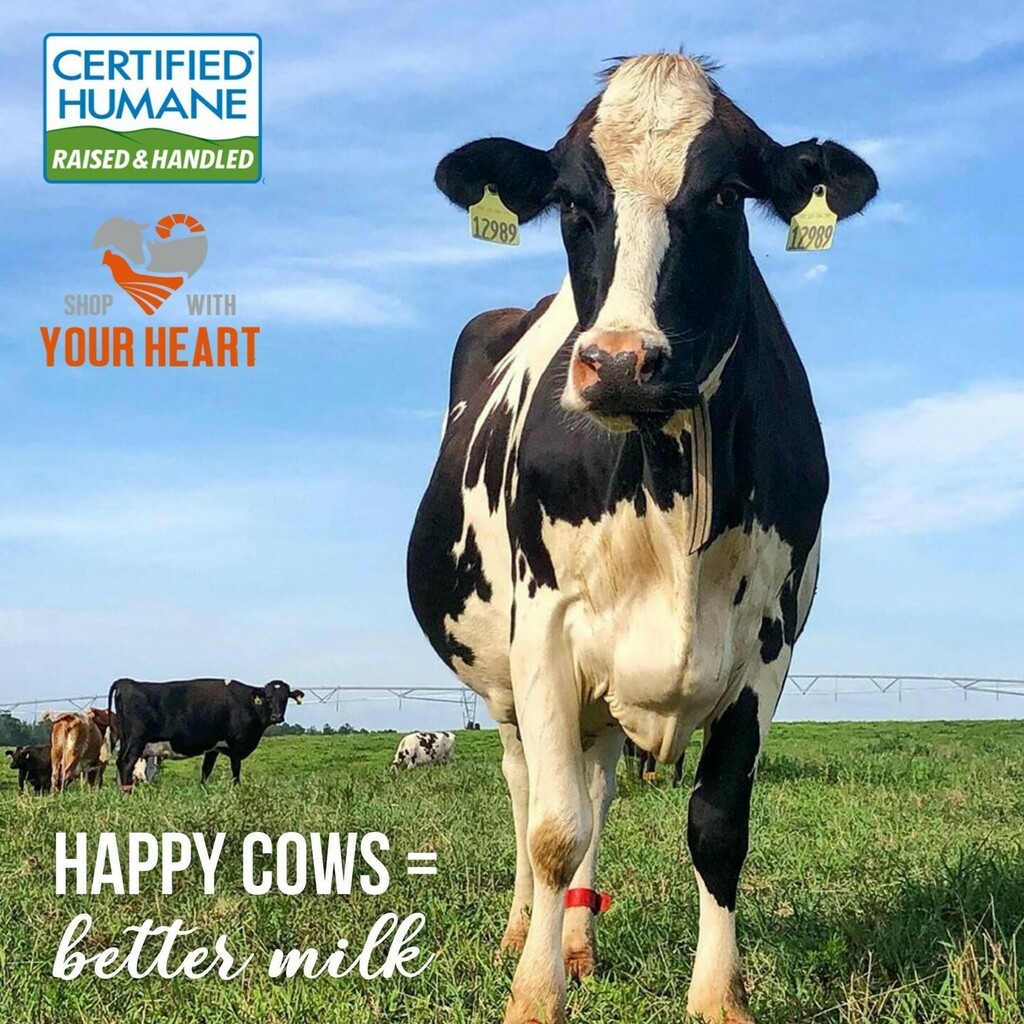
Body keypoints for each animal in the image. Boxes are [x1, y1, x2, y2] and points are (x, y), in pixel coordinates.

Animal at [109, 677, 305, 789]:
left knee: (119, 763)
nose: (277, 716)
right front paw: (237, 790)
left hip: (126, 741)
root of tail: (126, 682)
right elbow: (235, 771)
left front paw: (203, 790)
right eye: (269, 698)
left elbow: (206, 771)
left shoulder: (214, 748)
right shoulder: (235, 745)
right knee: (126, 763)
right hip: (136, 741)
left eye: (285, 698)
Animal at [407, 52, 876, 1024]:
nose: (620, 360)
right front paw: (533, 995)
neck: (669, 483)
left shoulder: (767, 646)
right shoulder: (545, 631)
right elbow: (552, 831)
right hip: (507, 683)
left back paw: (579, 940)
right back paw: (526, 930)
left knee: (598, 787)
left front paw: (717, 997)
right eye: (573, 203)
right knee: (529, 792)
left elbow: (718, 826)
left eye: (727, 194)